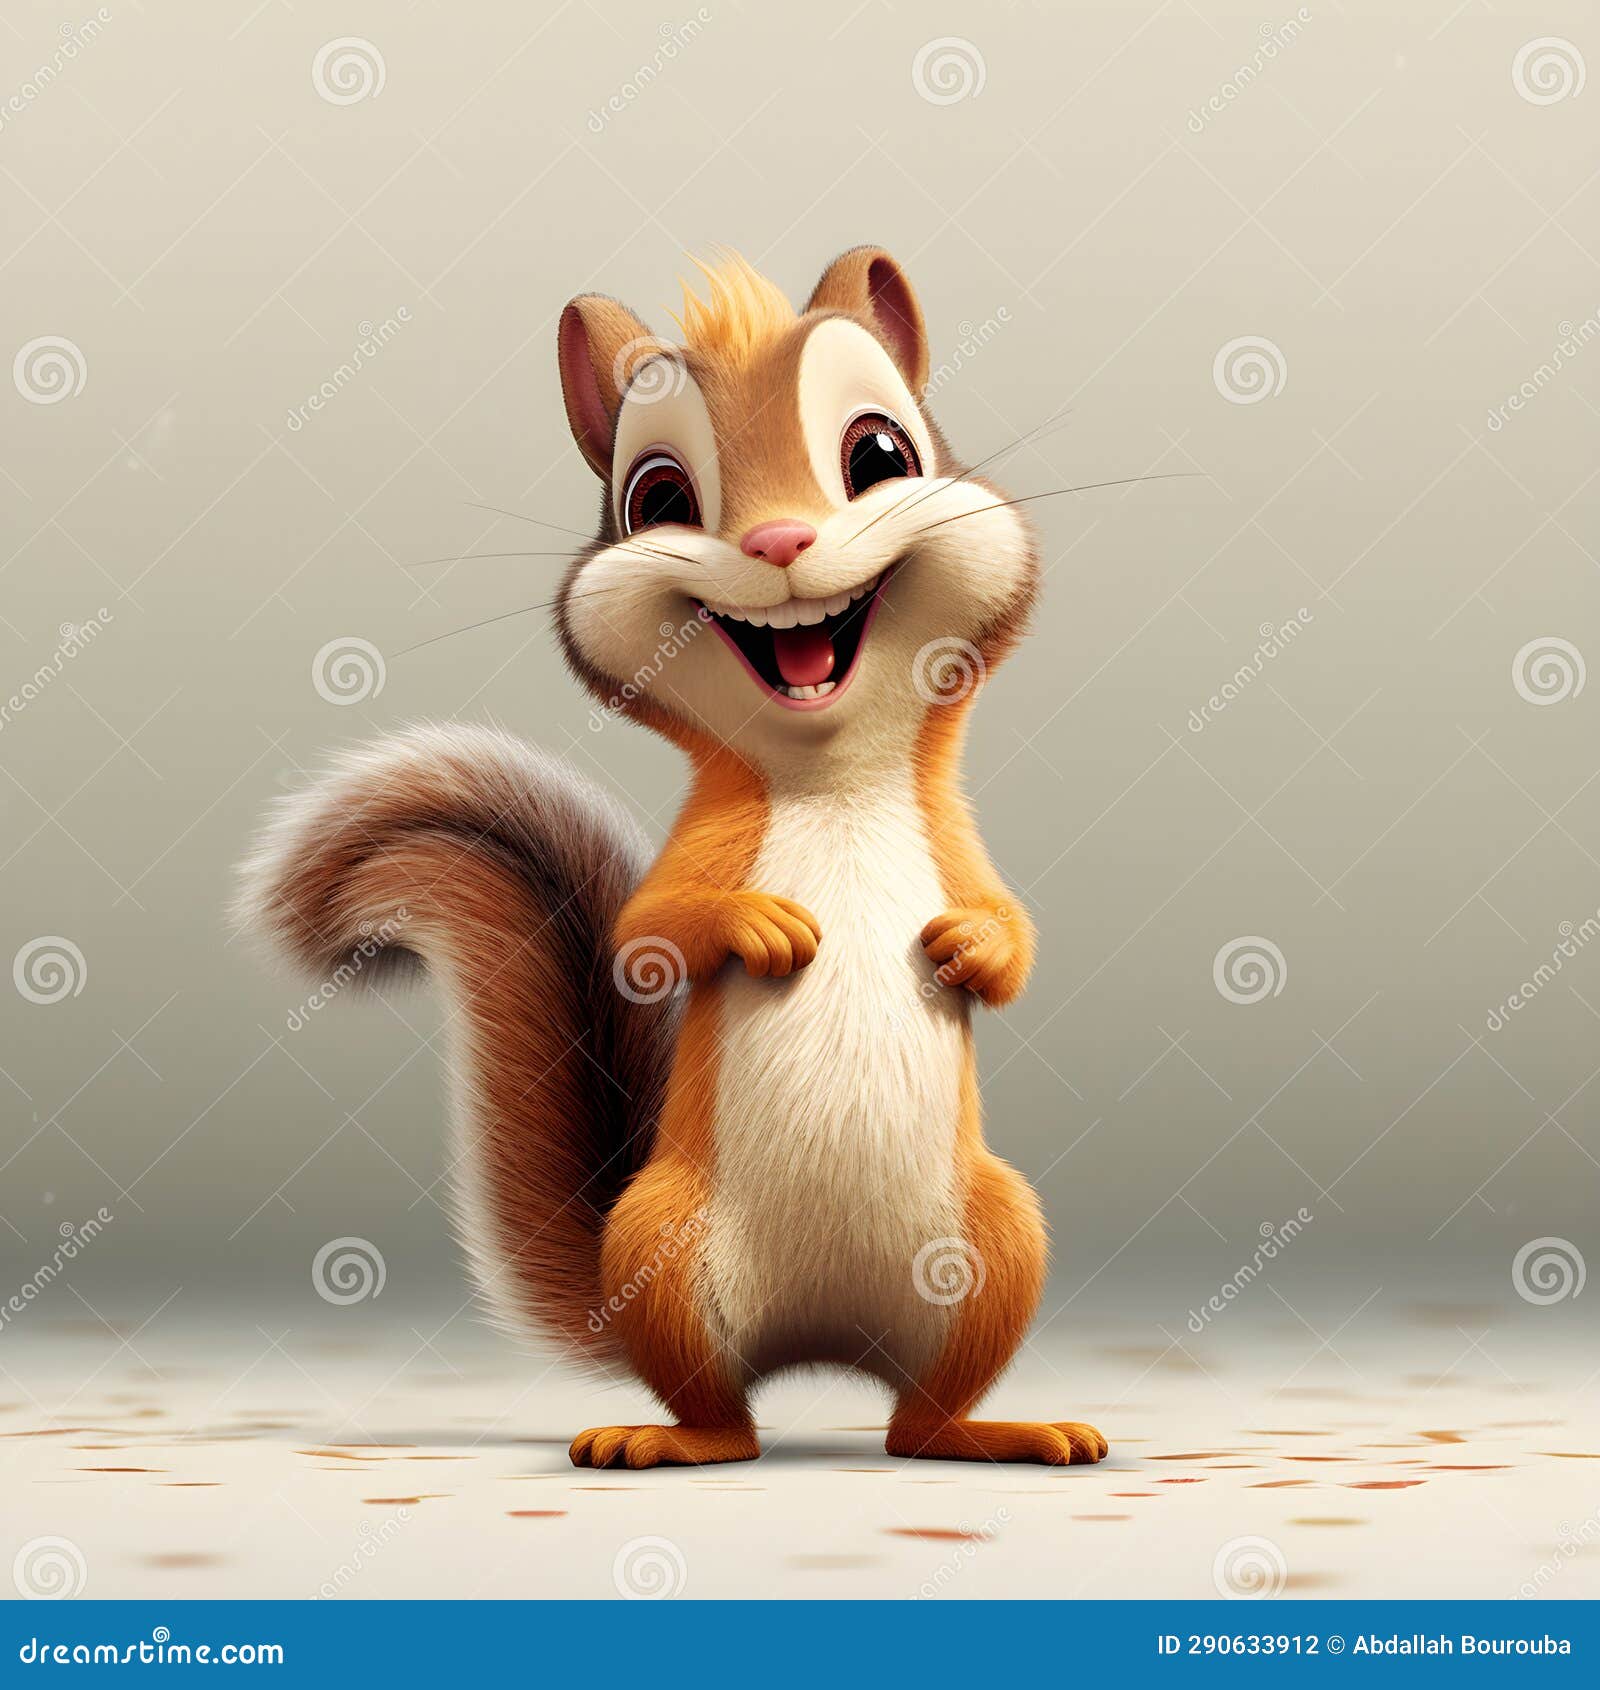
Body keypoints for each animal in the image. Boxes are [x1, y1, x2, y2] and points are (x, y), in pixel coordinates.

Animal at [236, 247, 1107, 1471]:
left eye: (882, 454)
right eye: (656, 498)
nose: (779, 544)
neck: (826, 780)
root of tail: (821, 1343)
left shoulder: (955, 838)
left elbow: (1016, 935)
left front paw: (968, 945)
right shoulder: (699, 851)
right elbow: (643, 940)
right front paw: (762, 925)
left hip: (997, 1241)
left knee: (917, 1421)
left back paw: (1003, 1429)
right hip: (666, 1245)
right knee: (722, 1411)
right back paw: (665, 1441)